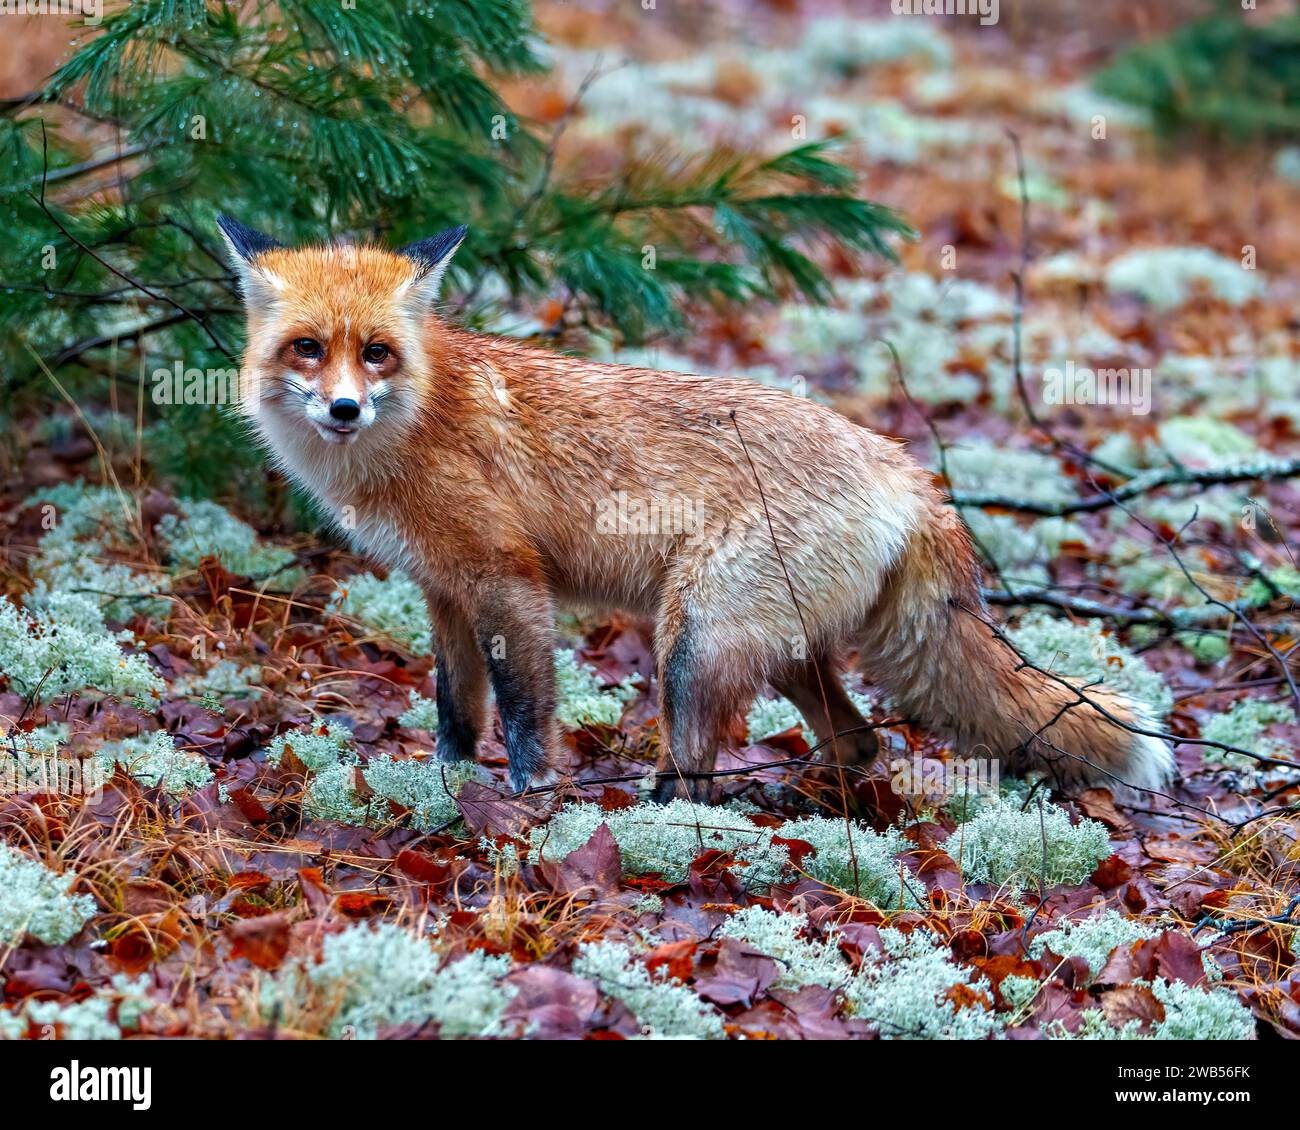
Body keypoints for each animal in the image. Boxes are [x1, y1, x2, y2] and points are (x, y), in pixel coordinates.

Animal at [217, 215, 1175, 804]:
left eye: (377, 353)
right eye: (309, 349)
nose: (344, 409)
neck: (415, 429)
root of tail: (910, 473)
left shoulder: (508, 582)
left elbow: (525, 716)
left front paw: (528, 804)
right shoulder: (445, 590)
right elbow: (458, 708)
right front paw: (445, 783)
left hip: (694, 640)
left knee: (703, 766)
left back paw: (664, 822)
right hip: (773, 647)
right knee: (858, 740)